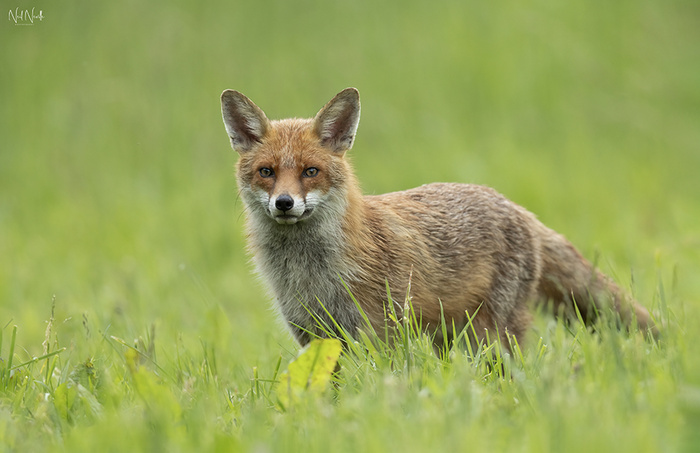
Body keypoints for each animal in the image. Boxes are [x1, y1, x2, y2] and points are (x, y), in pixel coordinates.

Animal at [220, 87, 657, 351]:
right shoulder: (314, 337)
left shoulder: (383, 331)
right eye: (266, 172)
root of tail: (517, 207)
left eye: (310, 171)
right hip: (449, 337)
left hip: (491, 334)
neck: (310, 272)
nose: (285, 203)